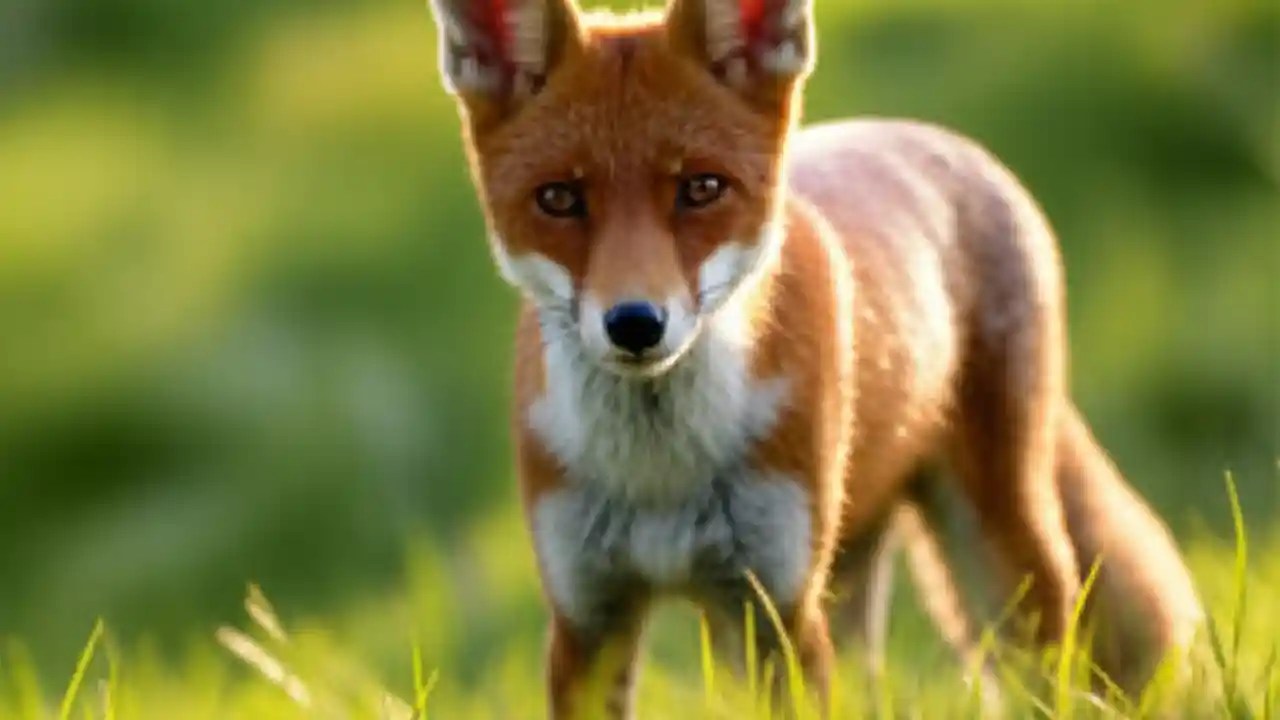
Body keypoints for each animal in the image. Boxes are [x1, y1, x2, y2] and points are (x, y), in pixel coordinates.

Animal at [424, 0, 1204, 716]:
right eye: (558, 198)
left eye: (701, 188)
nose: (636, 323)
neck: (660, 474)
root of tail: (928, 136)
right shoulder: (587, 619)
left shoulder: (780, 615)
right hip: (834, 578)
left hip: (997, 553)